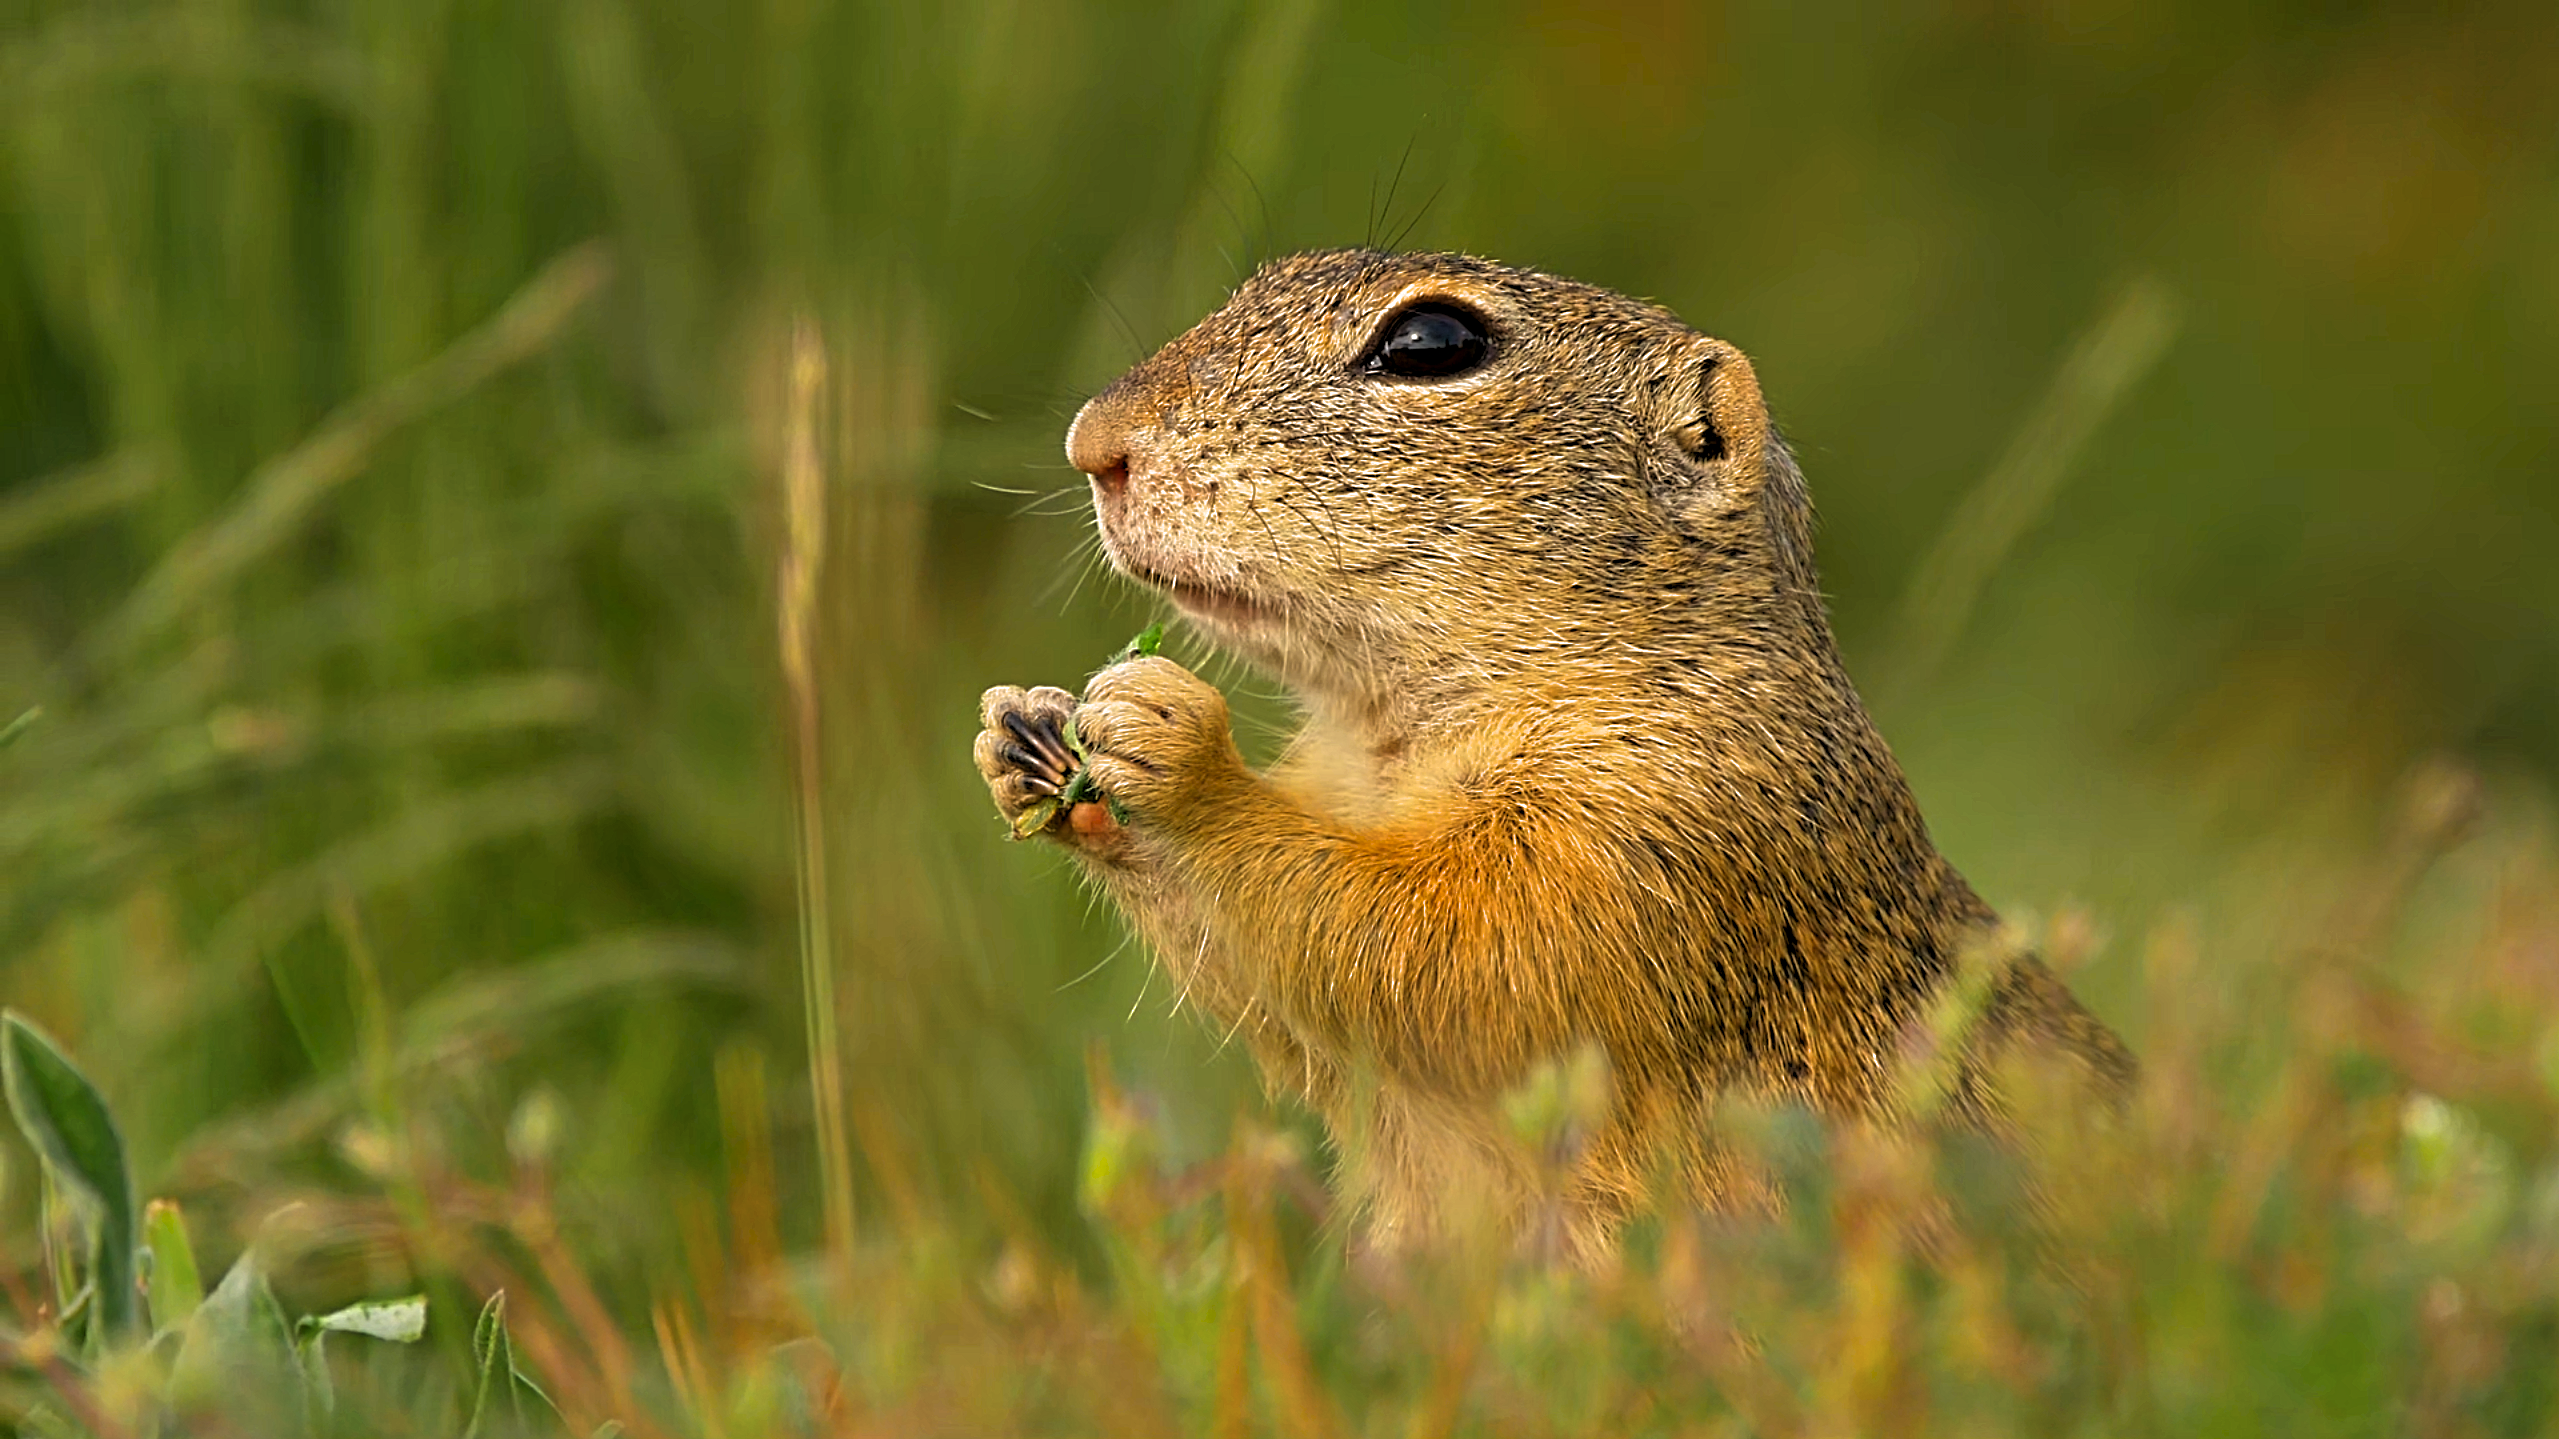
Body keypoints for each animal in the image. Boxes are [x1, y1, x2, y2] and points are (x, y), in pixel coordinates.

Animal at [975, 248, 2135, 1261]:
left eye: (1431, 342)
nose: (1093, 443)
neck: (1387, 732)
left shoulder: (1663, 828)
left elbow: (1449, 952)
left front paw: (1178, 752)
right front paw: (1024, 735)